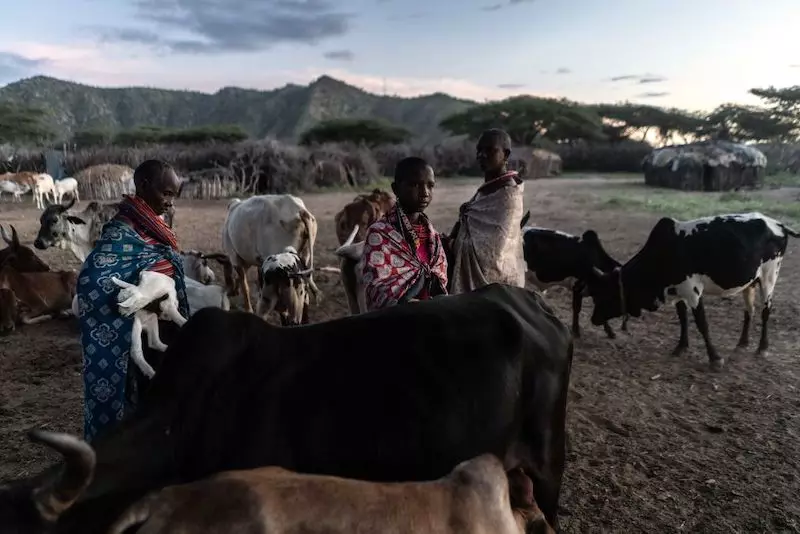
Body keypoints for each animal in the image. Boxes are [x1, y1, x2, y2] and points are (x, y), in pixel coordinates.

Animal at [580, 211, 800, 370]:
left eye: (603, 295)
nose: (593, 319)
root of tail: (777, 223)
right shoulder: (677, 292)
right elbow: (683, 319)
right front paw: (681, 347)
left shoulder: (693, 292)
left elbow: (702, 324)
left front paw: (715, 358)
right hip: (750, 281)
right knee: (749, 311)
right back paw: (742, 342)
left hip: (769, 276)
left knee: (765, 310)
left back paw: (762, 348)